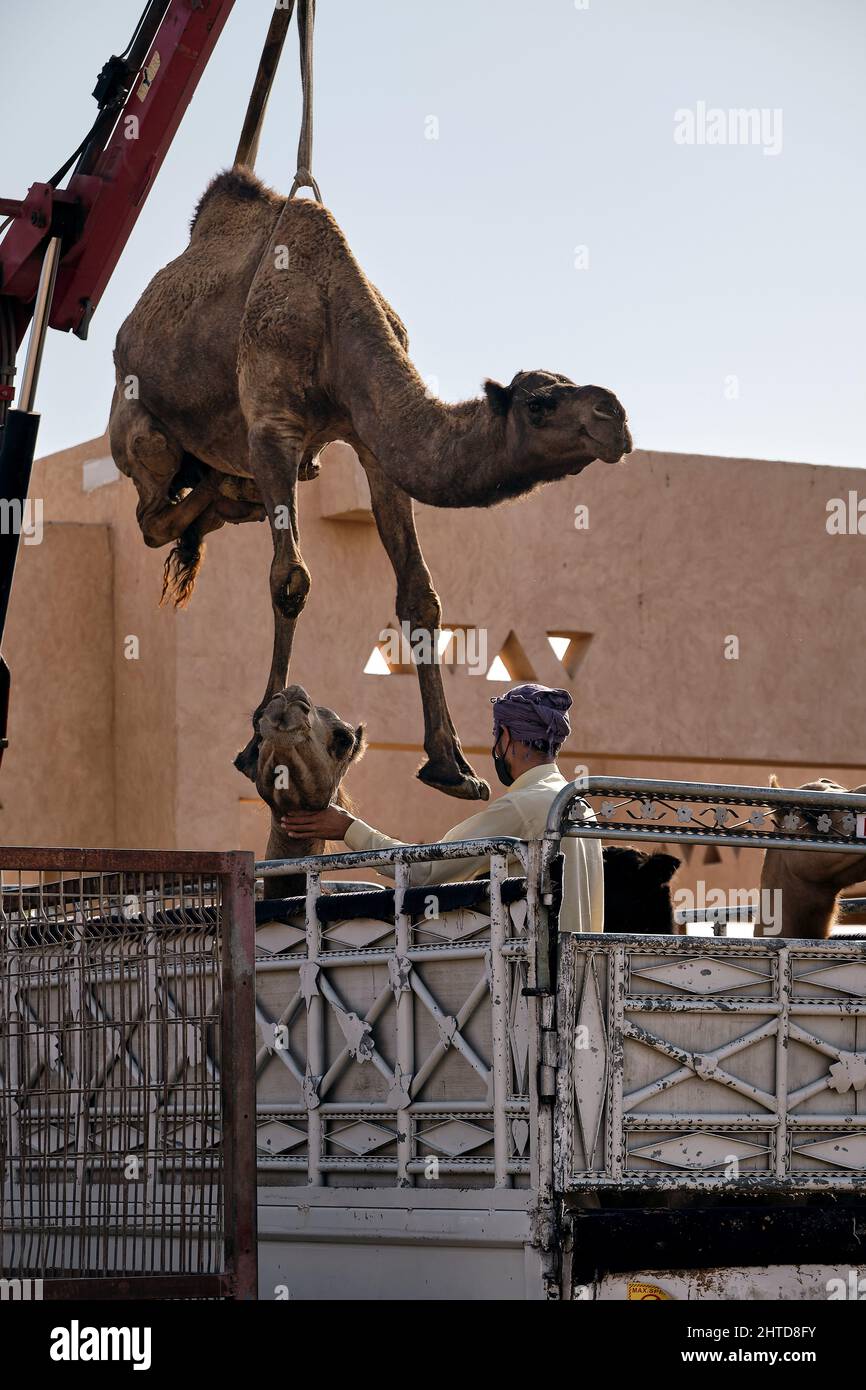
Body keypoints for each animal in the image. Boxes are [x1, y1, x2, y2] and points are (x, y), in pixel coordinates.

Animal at [110, 167, 632, 803]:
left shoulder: (371, 441)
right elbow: (290, 579)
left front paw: (453, 767)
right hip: (140, 431)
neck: (336, 321)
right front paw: (254, 743)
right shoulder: (272, 428)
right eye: (540, 404)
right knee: (150, 519)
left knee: (202, 510)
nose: (614, 415)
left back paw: (230, 492)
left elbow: (420, 593)